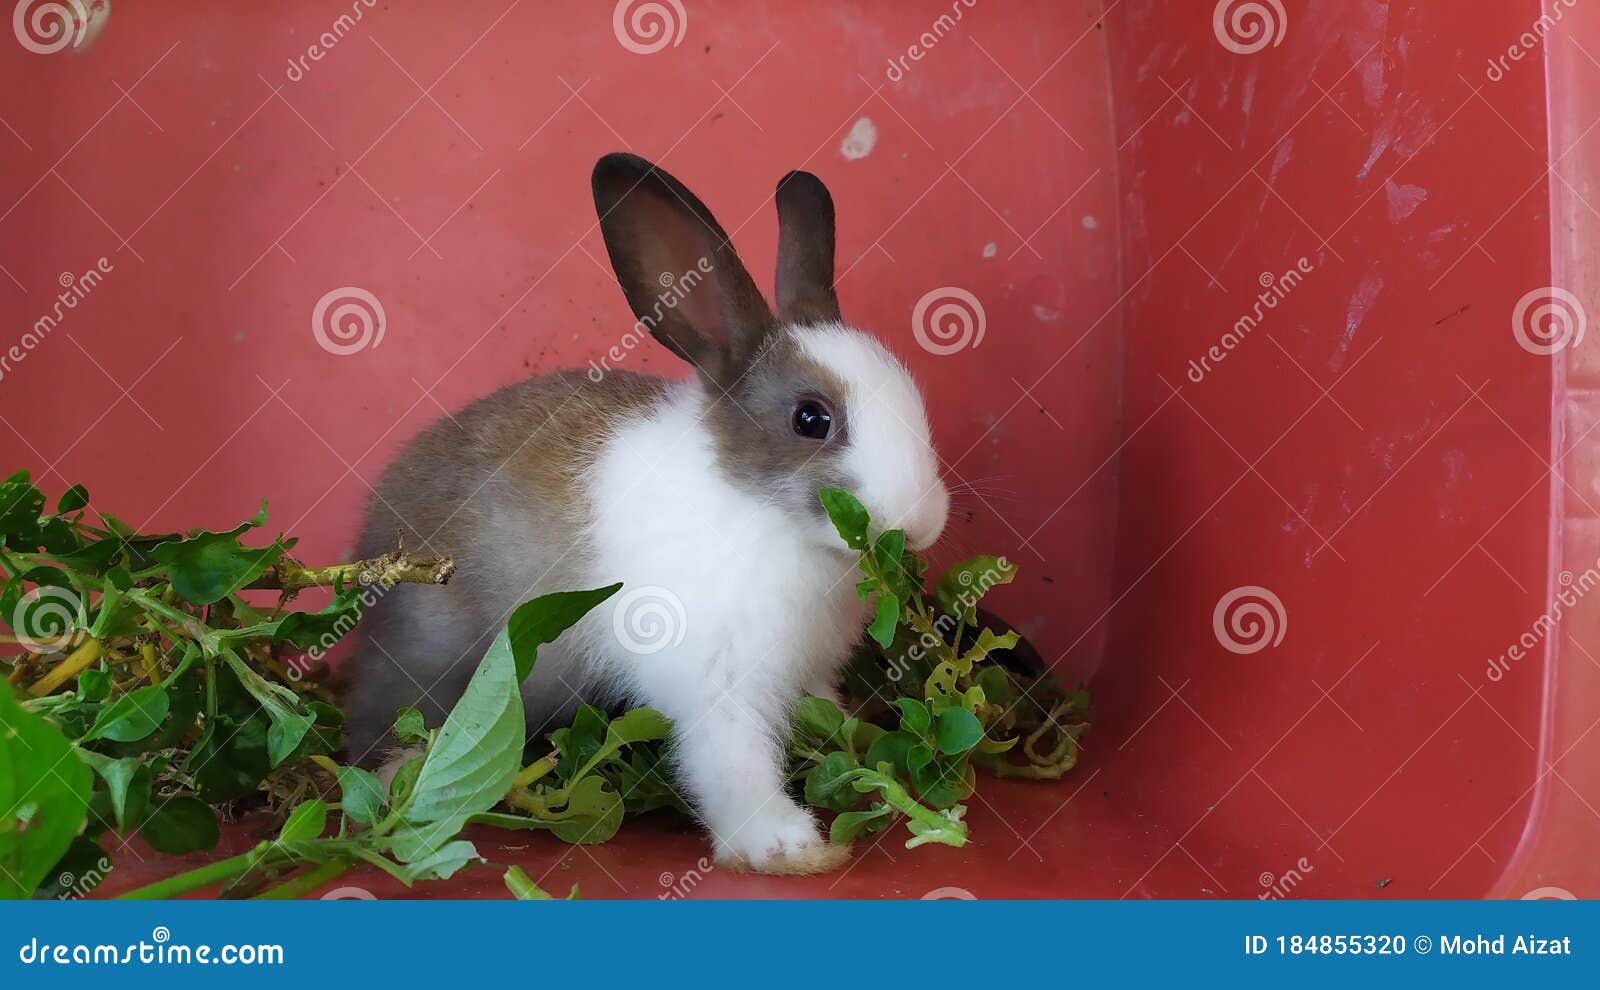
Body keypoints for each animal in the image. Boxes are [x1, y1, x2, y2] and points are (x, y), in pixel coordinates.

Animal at [340, 153, 950, 875]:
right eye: (811, 419)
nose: (921, 522)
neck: (755, 508)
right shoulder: (717, 684)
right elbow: (733, 763)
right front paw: (785, 847)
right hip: (429, 653)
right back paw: (399, 780)